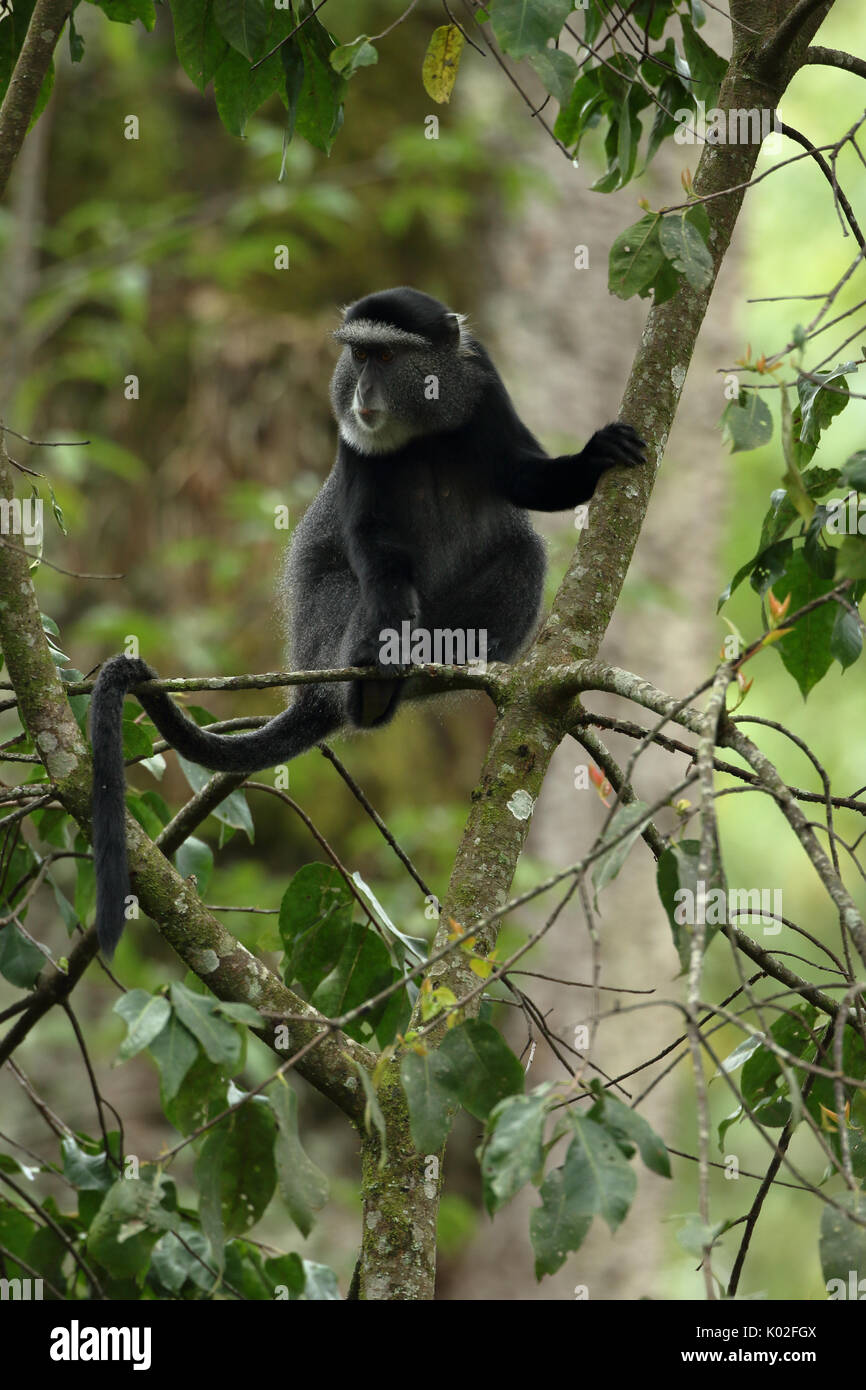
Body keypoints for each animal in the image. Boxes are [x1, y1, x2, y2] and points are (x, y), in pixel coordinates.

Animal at [90, 287, 645, 956]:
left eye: (384, 355)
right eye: (356, 355)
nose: (361, 394)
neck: (422, 423)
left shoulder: (484, 386)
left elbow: (521, 476)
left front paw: (594, 457)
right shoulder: (358, 451)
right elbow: (372, 542)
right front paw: (387, 615)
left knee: (525, 552)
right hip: (325, 632)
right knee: (350, 589)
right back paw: (372, 685)